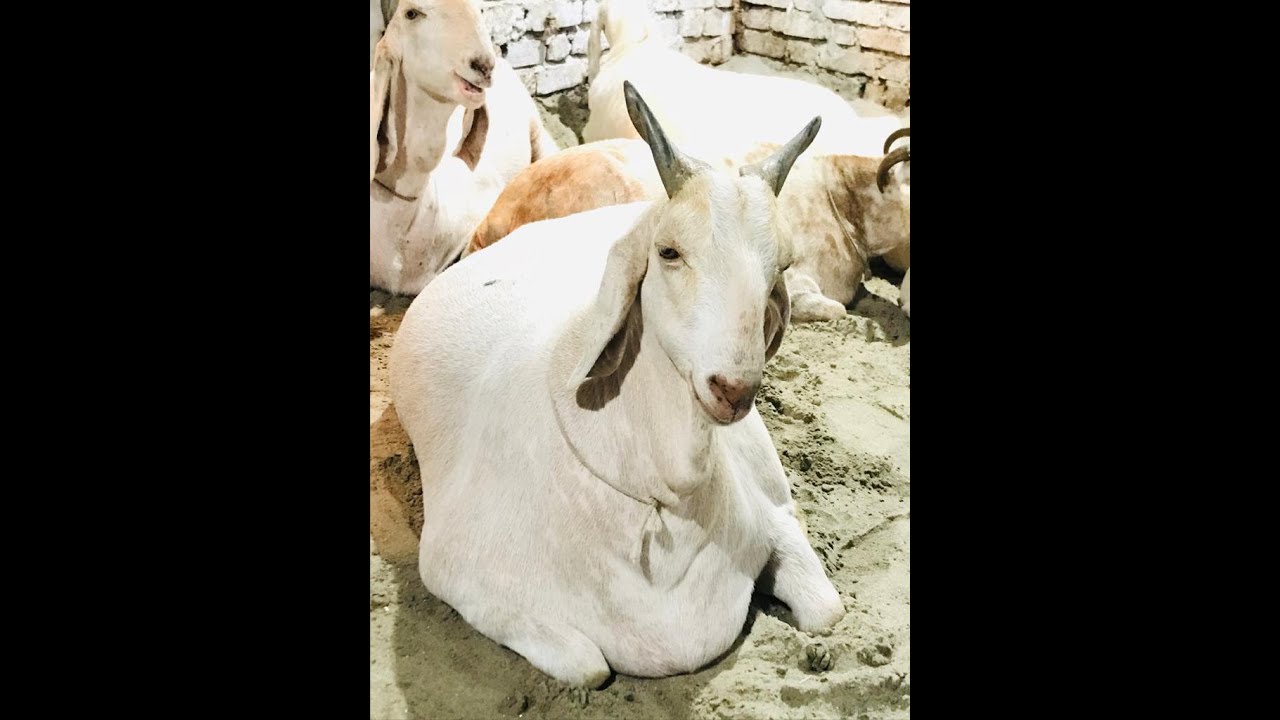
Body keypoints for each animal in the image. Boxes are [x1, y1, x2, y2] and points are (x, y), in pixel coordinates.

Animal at [389, 82, 844, 687]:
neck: (660, 499)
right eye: (668, 251)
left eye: (782, 268)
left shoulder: (774, 520)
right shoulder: (457, 571)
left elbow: (827, 611)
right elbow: (589, 668)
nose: (733, 389)